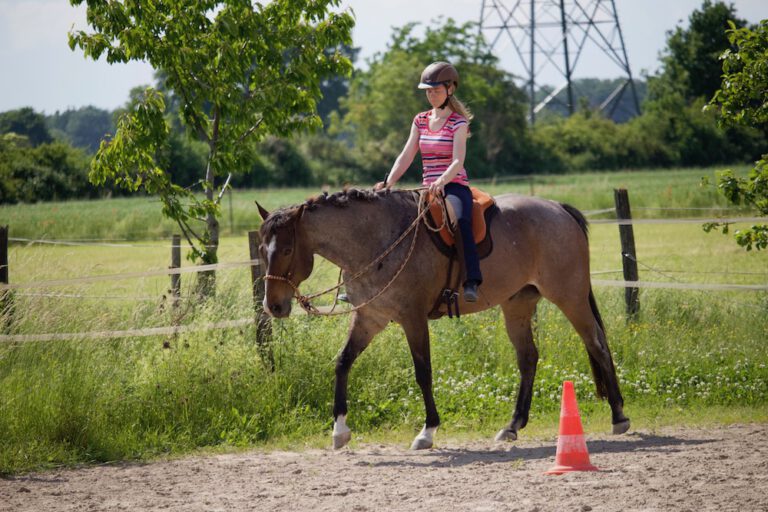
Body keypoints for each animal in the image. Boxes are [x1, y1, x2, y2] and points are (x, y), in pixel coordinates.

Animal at [257, 188, 630, 450]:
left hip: (570, 297)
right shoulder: (370, 318)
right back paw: (512, 426)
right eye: (262, 250)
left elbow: (423, 373)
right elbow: (342, 363)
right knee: (528, 358)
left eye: (287, 250)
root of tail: (557, 208)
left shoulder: (412, 319)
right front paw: (340, 431)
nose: (273, 306)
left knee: (597, 343)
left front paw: (428, 431)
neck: (377, 240)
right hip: (518, 305)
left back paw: (619, 416)